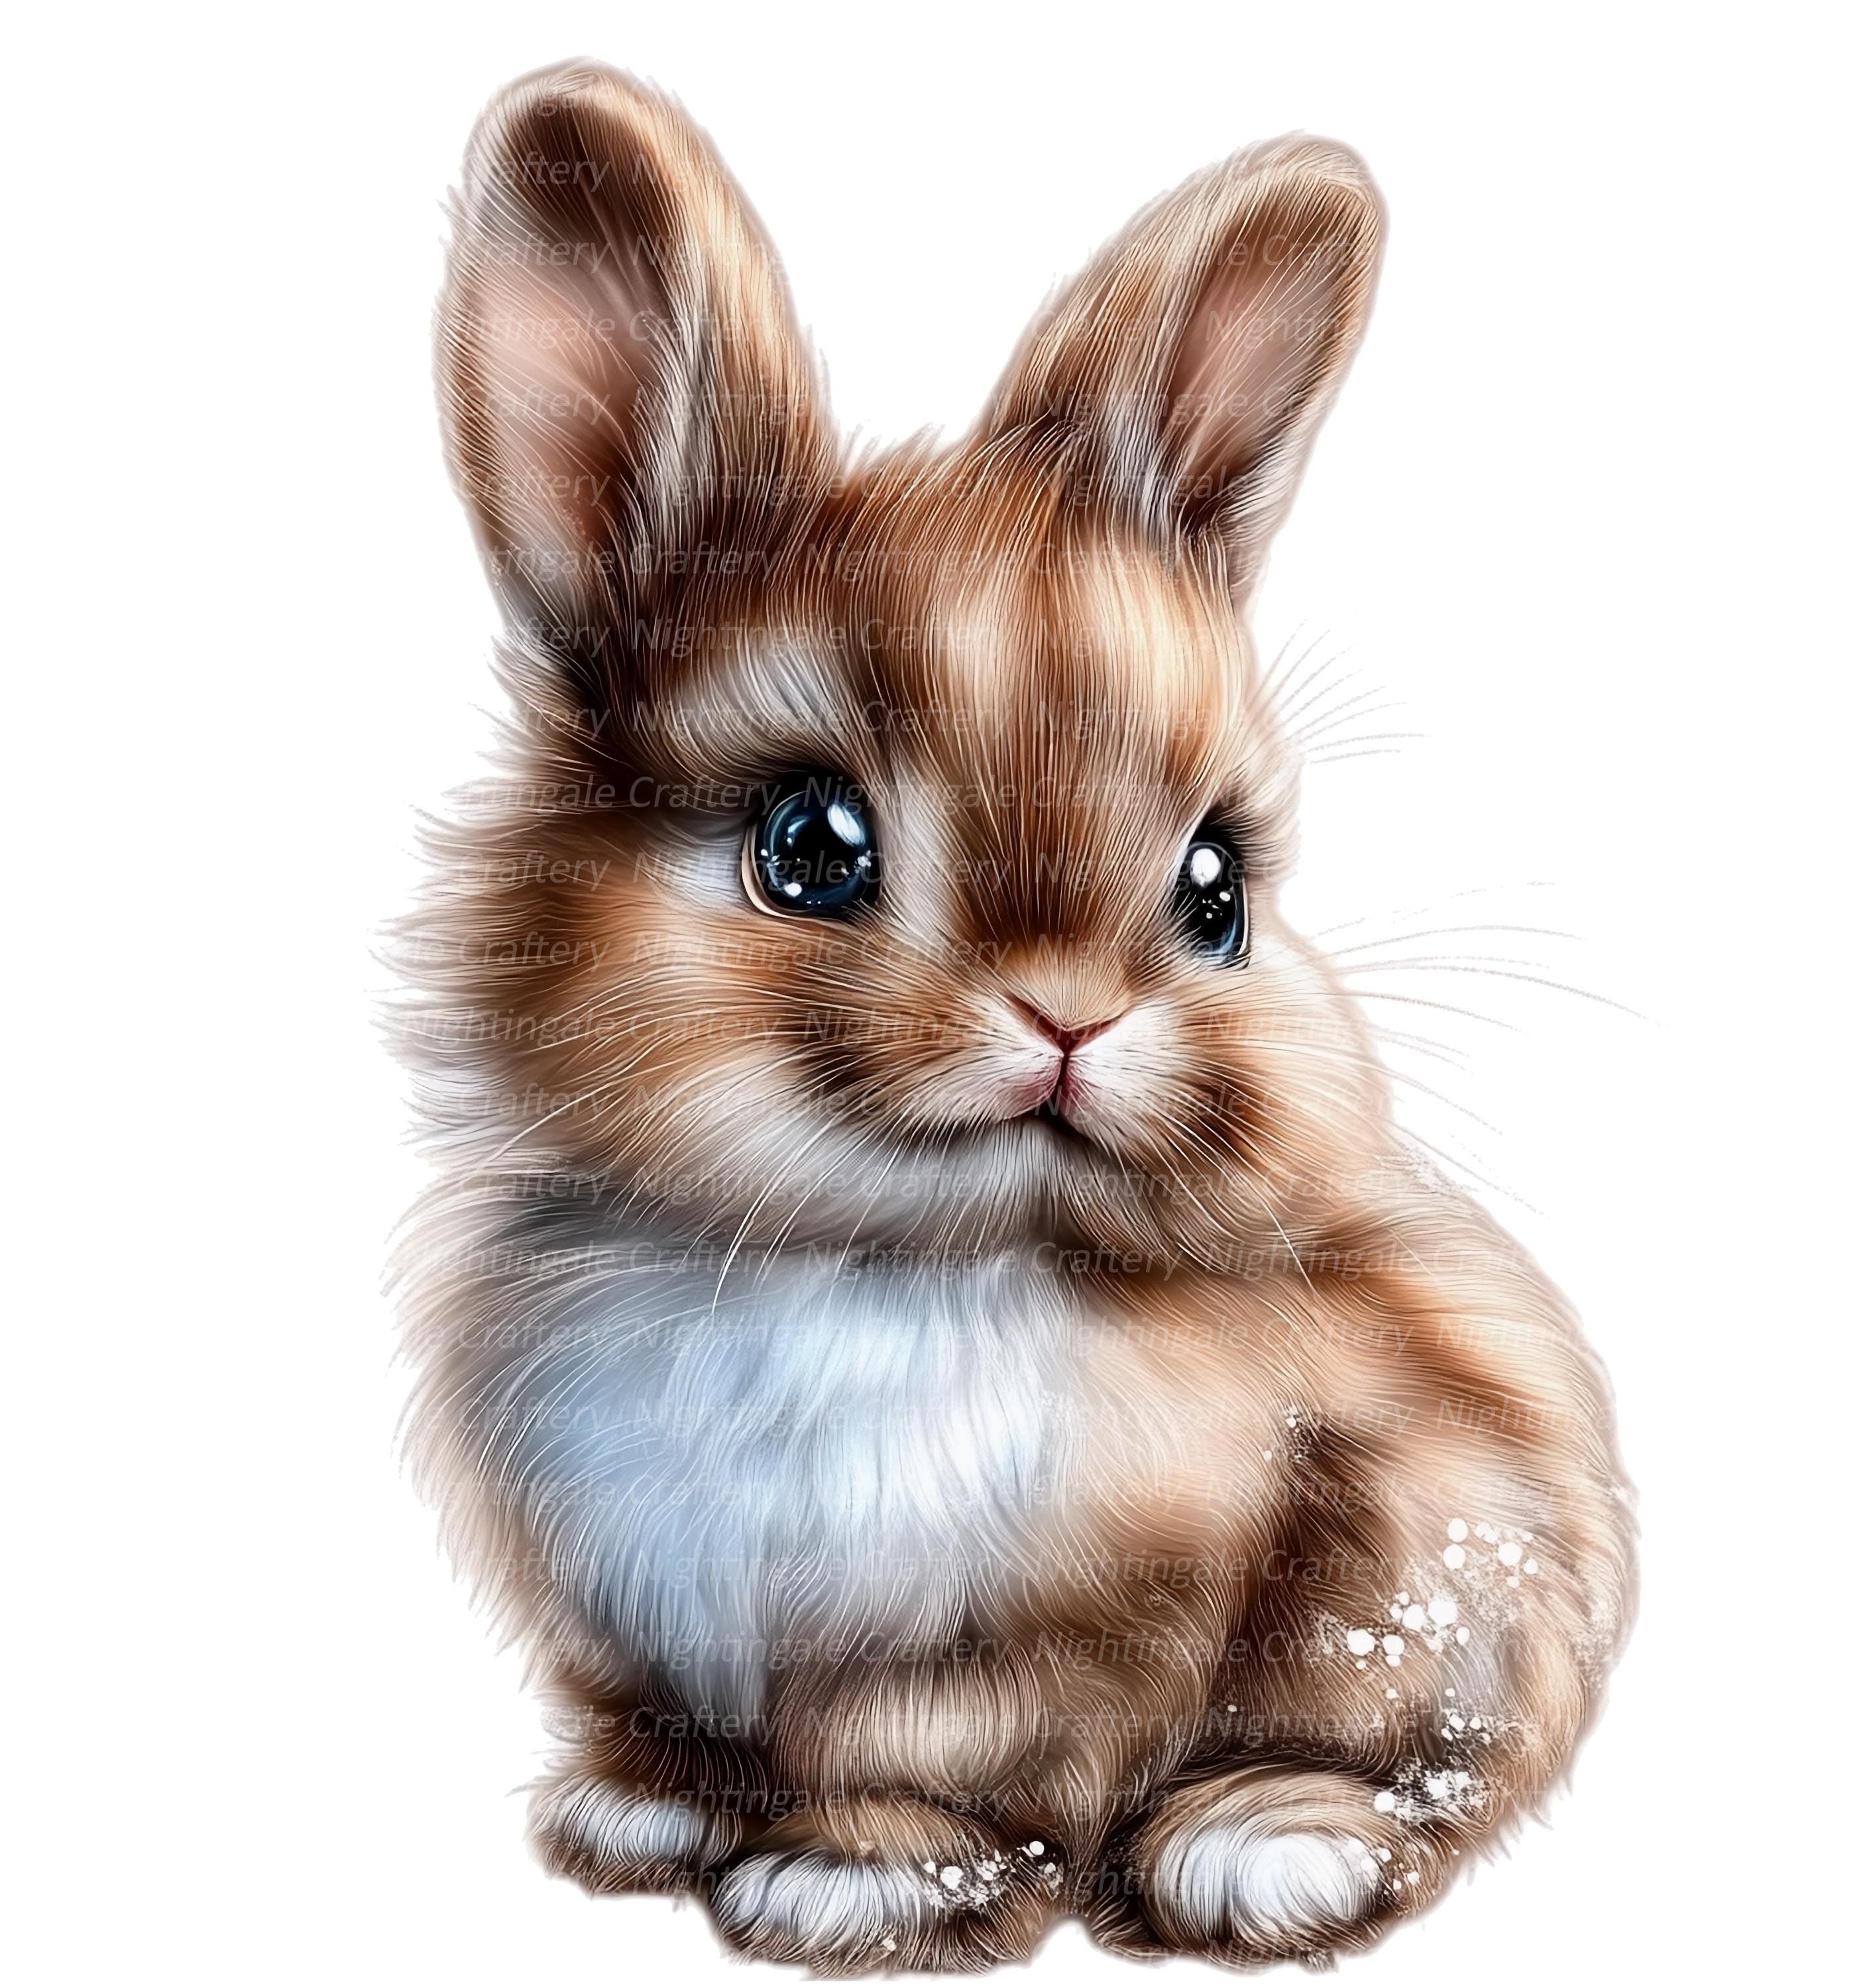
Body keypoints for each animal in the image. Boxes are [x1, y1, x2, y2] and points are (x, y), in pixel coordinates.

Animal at [393, 59, 1634, 1976]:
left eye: (1212, 888)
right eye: (809, 846)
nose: (1069, 1023)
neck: (873, 1260)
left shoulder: (1031, 1646)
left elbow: (937, 1763)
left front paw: (850, 1885)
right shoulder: (632, 1618)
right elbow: (669, 1725)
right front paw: (629, 1818)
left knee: (1430, 1793)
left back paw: (1263, 1844)